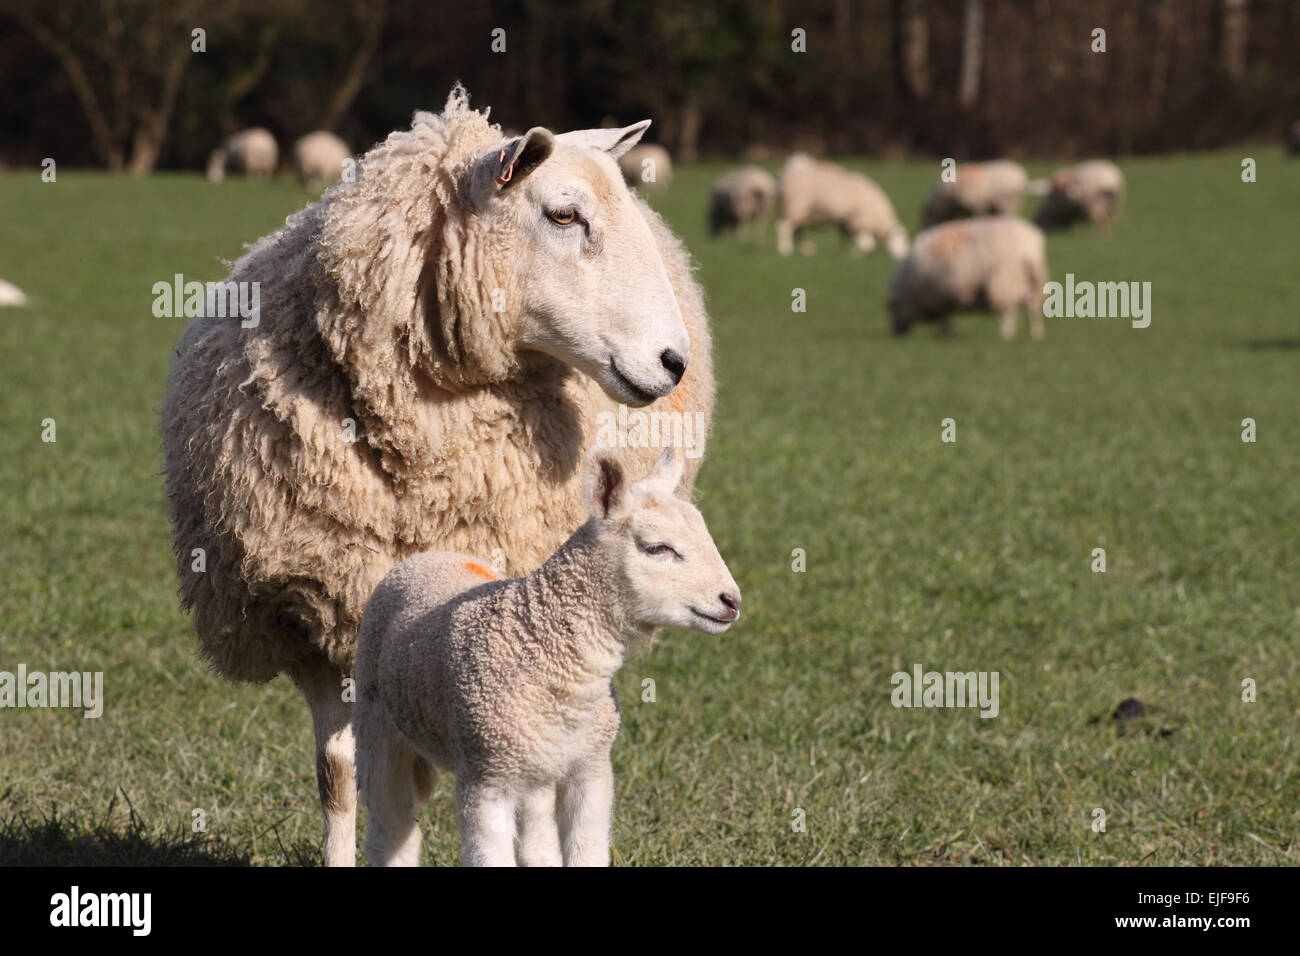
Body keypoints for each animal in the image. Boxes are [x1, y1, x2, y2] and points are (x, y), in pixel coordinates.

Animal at [355, 445, 740, 867]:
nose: (732, 601)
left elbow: (586, 852)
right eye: (658, 548)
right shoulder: (486, 774)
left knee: (537, 840)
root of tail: (430, 556)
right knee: (390, 827)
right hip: (376, 719)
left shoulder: (591, 766)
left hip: (535, 768)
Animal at [776, 154, 908, 258]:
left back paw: (806, 249)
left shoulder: (846, 221)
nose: (902, 256)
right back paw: (785, 250)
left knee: (797, 230)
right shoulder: (860, 221)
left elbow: (846, 238)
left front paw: (844, 253)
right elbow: (867, 245)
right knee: (784, 228)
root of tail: (784, 177)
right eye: (899, 240)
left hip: (801, 211)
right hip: (794, 206)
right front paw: (855, 254)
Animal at [888, 215, 1049, 340]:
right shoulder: (943, 297)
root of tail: (1030, 248)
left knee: (1007, 312)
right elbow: (947, 317)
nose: (896, 334)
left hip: (1005, 281)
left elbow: (945, 319)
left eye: (891, 307)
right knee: (1032, 308)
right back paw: (1035, 333)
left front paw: (945, 335)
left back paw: (1005, 335)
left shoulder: (938, 297)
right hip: (1031, 283)